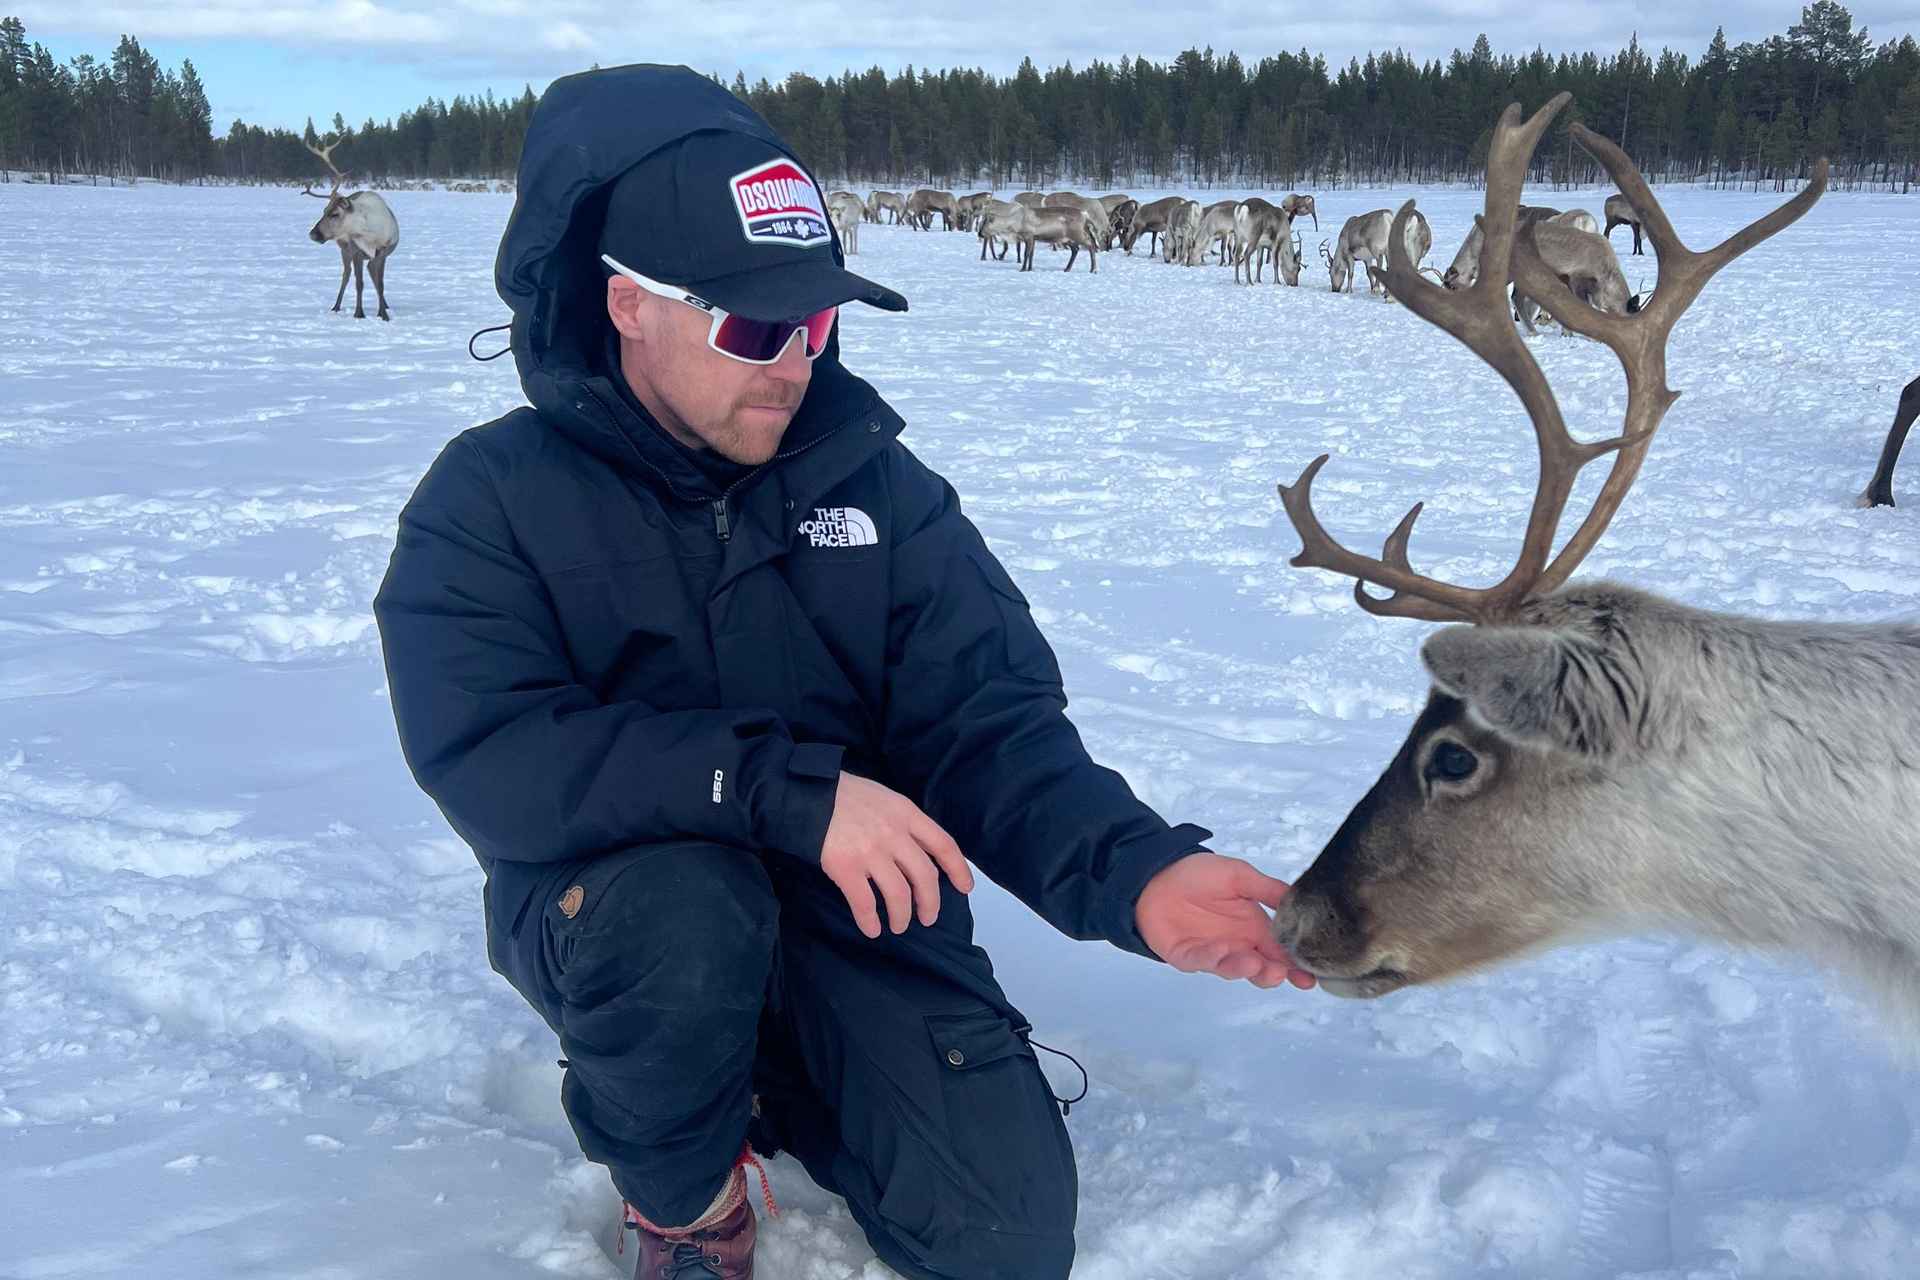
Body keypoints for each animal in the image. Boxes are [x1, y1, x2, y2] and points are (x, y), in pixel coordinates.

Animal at [302, 137, 399, 322]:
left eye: (334, 213)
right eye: (324, 210)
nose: (313, 234)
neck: (370, 234)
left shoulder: (383, 251)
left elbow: (380, 283)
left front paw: (383, 314)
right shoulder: (356, 251)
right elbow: (359, 283)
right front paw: (359, 313)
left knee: (372, 274)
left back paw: (385, 304)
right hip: (344, 250)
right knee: (346, 275)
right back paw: (336, 306)